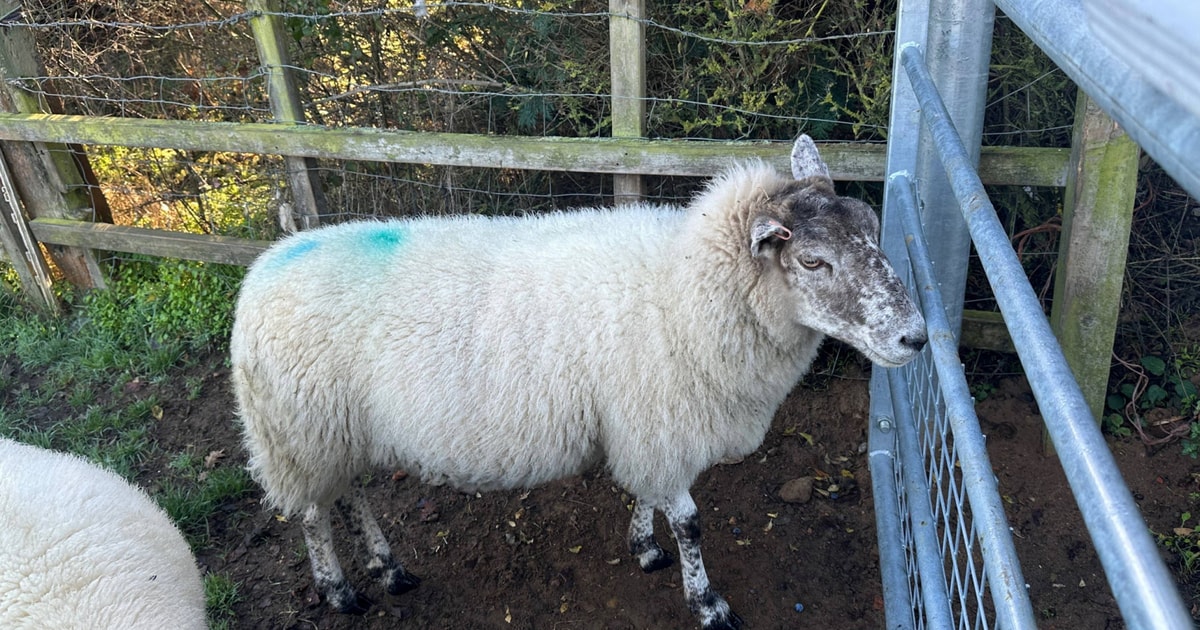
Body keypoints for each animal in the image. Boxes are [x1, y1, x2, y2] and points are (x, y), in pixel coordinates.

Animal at [230, 134, 927, 629]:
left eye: (872, 232)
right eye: (811, 260)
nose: (916, 339)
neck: (685, 290)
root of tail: (261, 274)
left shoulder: (646, 426)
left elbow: (652, 500)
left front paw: (644, 547)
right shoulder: (658, 422)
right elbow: (691, 523)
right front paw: (708, 604)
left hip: (335, 430)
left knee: (349, 495)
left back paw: (389, 568)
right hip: (299, 430)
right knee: (314, 515)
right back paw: (339, 590)